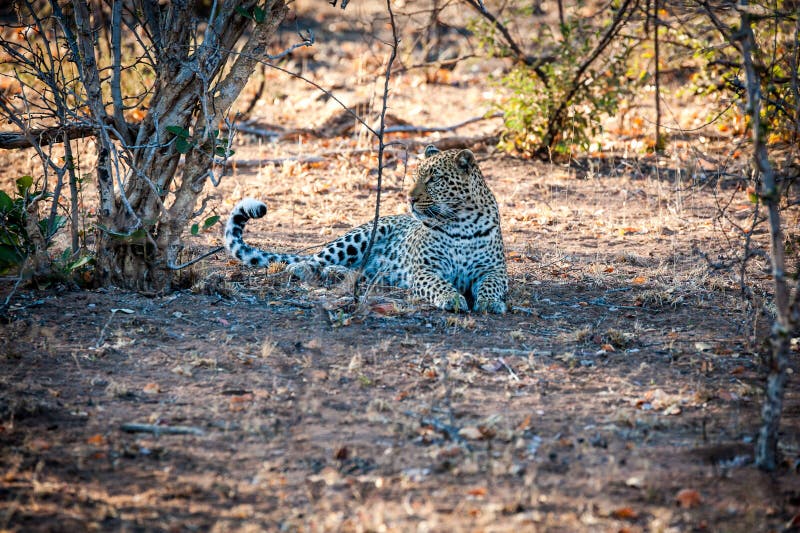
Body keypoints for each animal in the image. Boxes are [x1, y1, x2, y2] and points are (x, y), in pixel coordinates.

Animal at [224, 145, 508, 313]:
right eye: (416, 176)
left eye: (434, 179)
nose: (409, 198)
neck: (461, 221)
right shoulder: (425, 269)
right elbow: (438, 284)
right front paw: (452, 298)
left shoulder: (494, 270)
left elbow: (492, 286)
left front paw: (490, 302)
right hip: (360, 236)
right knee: (311, 260)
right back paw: (309, 269)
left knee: (359, 272)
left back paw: (339, 274)